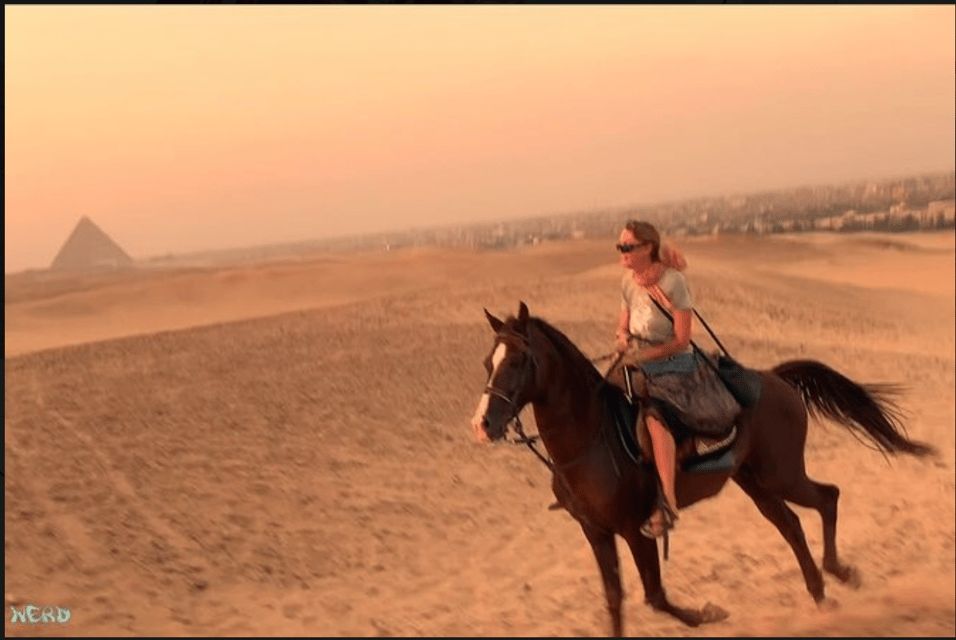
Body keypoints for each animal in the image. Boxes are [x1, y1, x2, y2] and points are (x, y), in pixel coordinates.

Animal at [470, 301, 935, 636]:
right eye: (487, 362)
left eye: (517, 361)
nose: (483, 425)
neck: (589, 440)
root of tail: (775, 379)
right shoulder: (596, 531)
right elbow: (615, 601)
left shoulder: (635, 528)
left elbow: (655, 596)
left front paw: (711, 613)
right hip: (754, 481)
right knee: (790, 524)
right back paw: (822, 595)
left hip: (781, 474)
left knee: (827, 498)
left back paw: (841, 574)